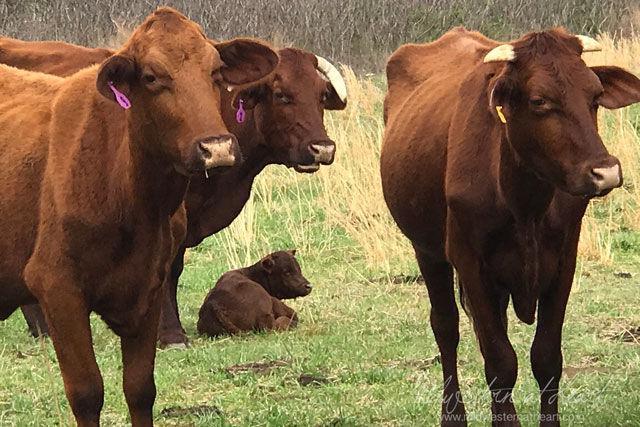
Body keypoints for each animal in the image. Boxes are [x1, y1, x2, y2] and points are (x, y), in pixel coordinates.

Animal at [0, 7, 278, 426]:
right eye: (150, 76)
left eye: (216, 71)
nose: (216, 148)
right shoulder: (57, 287)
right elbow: (87, 392)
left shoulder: (150, 286)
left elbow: (140, 389)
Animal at [380, 27, 640, 426]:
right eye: (539, 101)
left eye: (595, 95)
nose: (605, 171)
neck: (525, 204)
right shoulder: (469, 262)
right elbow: (500, 362)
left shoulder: (563, 259)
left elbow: (545, 357)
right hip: (427, 251)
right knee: (446, 328)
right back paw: (452, 414)